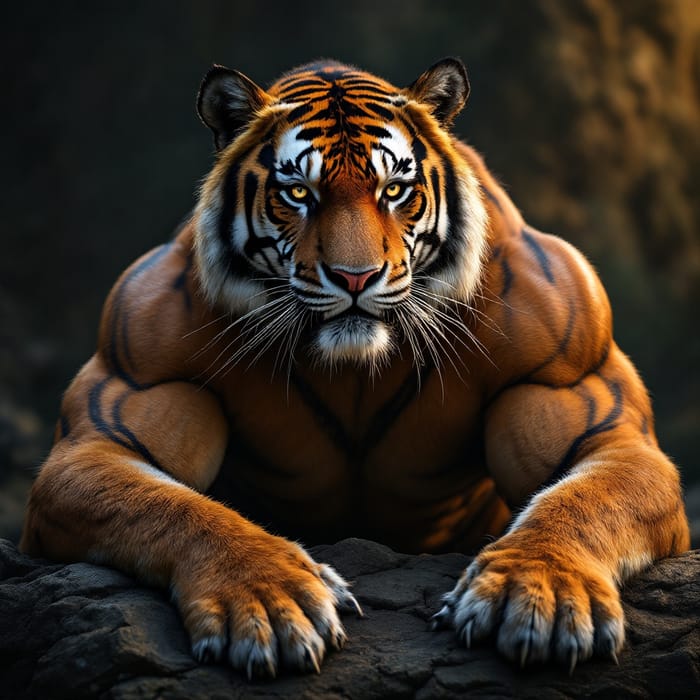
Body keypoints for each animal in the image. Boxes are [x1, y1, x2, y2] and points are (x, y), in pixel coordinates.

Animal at [21, 58, 690, 678]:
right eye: (298, 193)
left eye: (393, 190)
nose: (355, 278)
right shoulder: (123, 392)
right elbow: (182, 511)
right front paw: (267, 598)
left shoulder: (585, 398)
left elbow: (577, 503)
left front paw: (541, 594)